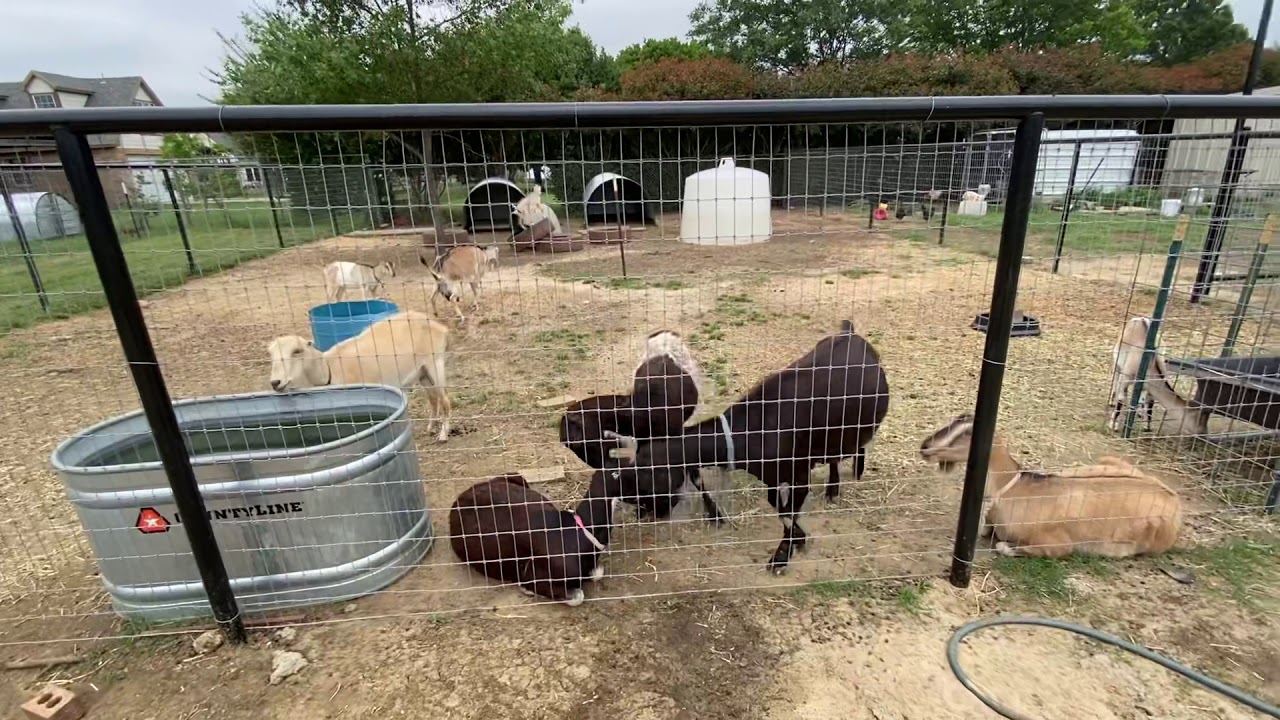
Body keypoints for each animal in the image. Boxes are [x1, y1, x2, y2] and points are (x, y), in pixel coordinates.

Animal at [267, 310, 452, 442]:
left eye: (297, 351)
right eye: (270, 354)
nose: (275, 382)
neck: (330, 370)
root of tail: (440, 326)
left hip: (435, 362)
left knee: (444, 400)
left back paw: (443, 434)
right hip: (422, 372)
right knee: (433, 398)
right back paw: (430, 428)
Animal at [602, 320, 890, 573]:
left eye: (645, 482)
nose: (646, 512)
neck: (758, 427)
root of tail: (849, 332)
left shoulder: (799, 475)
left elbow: (788, 513)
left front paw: (781, 556)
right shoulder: (772, 477)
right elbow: (778, 507)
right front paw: (798, 539)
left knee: (847, 450)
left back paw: (840, 483)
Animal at [920, 414, 1183, 558]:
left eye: (968, 432)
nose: (925, 447)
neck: (1014, 489)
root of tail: (1174, 501)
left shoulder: (1058, 545)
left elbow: (1005, 547)